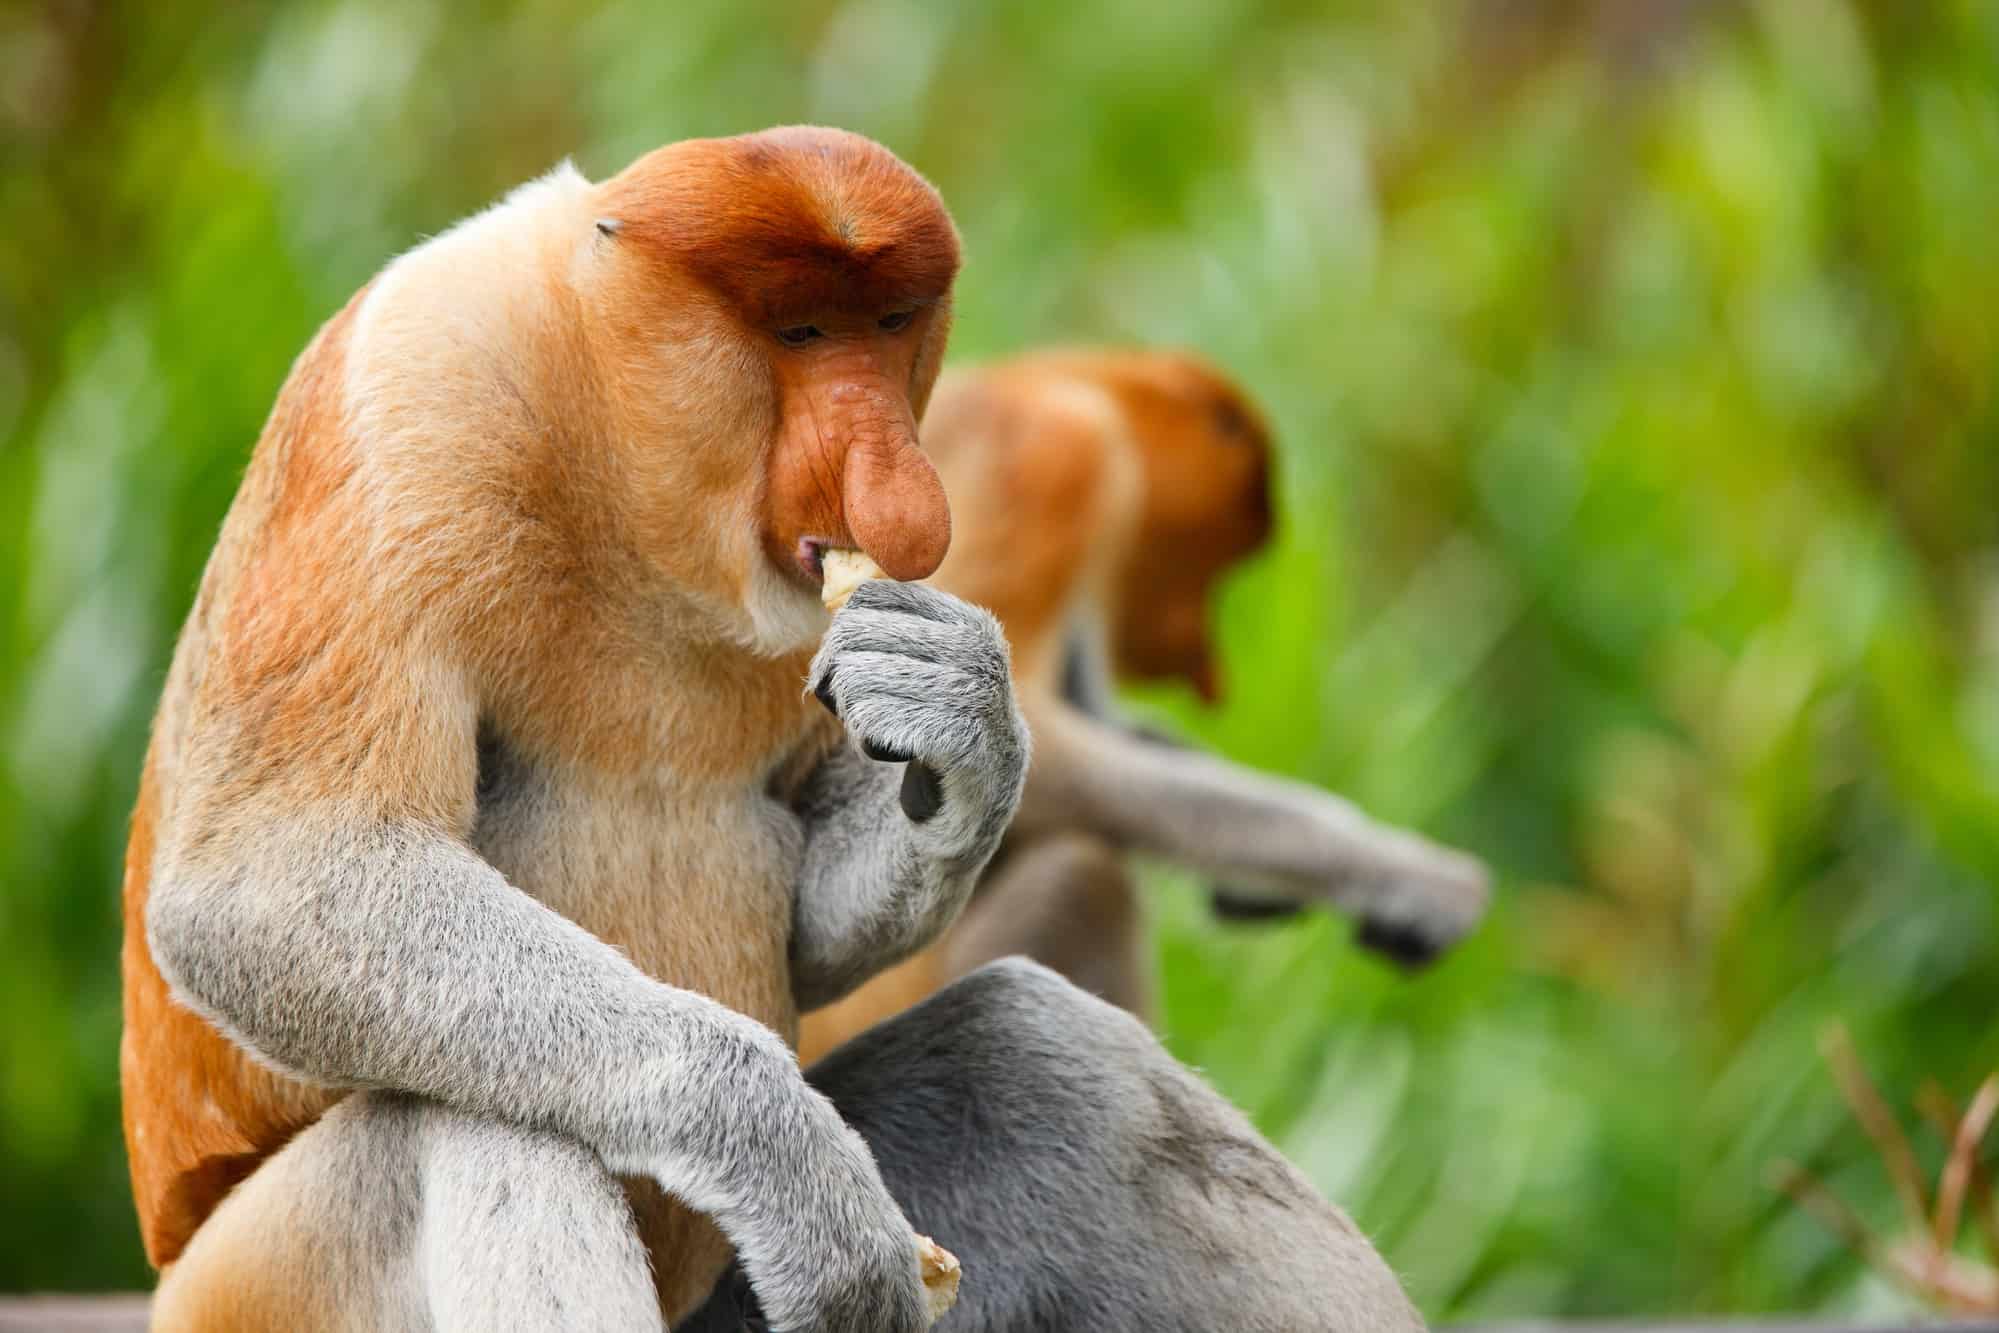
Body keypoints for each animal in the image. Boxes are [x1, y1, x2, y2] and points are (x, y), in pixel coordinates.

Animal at [124, 127, 1035, 1332]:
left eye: (890, 325)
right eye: (801, 332)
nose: (900, 498)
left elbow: (809, 920)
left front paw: (961, 709)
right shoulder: (413, 394)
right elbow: (267, 881)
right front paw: (796, 1173)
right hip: (254, 1286)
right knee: (472, 1124)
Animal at [800, 349, 1490, 1062]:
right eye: (1219, 563)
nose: (1210, 671)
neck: (1063, 386)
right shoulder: (1059, 456)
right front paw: (1413, 877)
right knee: (1083, 879)